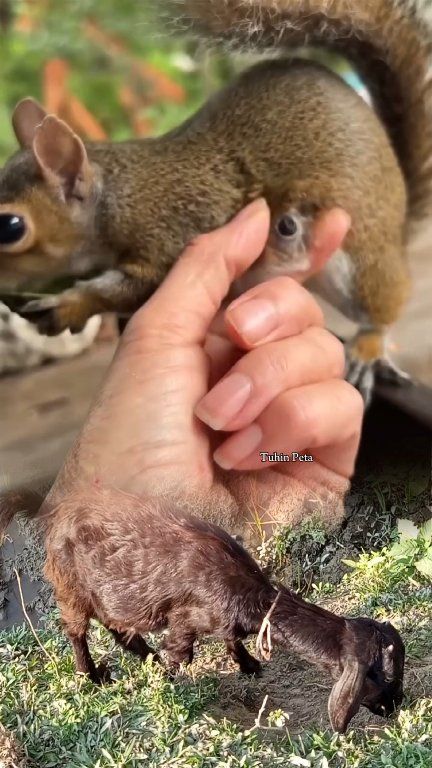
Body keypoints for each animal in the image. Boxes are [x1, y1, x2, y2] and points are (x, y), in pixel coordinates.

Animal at [0, 0, 431, 400]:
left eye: (11, 227)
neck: (121, 199)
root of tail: (399, 218)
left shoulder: (169, 236)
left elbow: (129, 288)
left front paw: (66, 304)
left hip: (362, 258)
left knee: (383, 302)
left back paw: (366, 348)